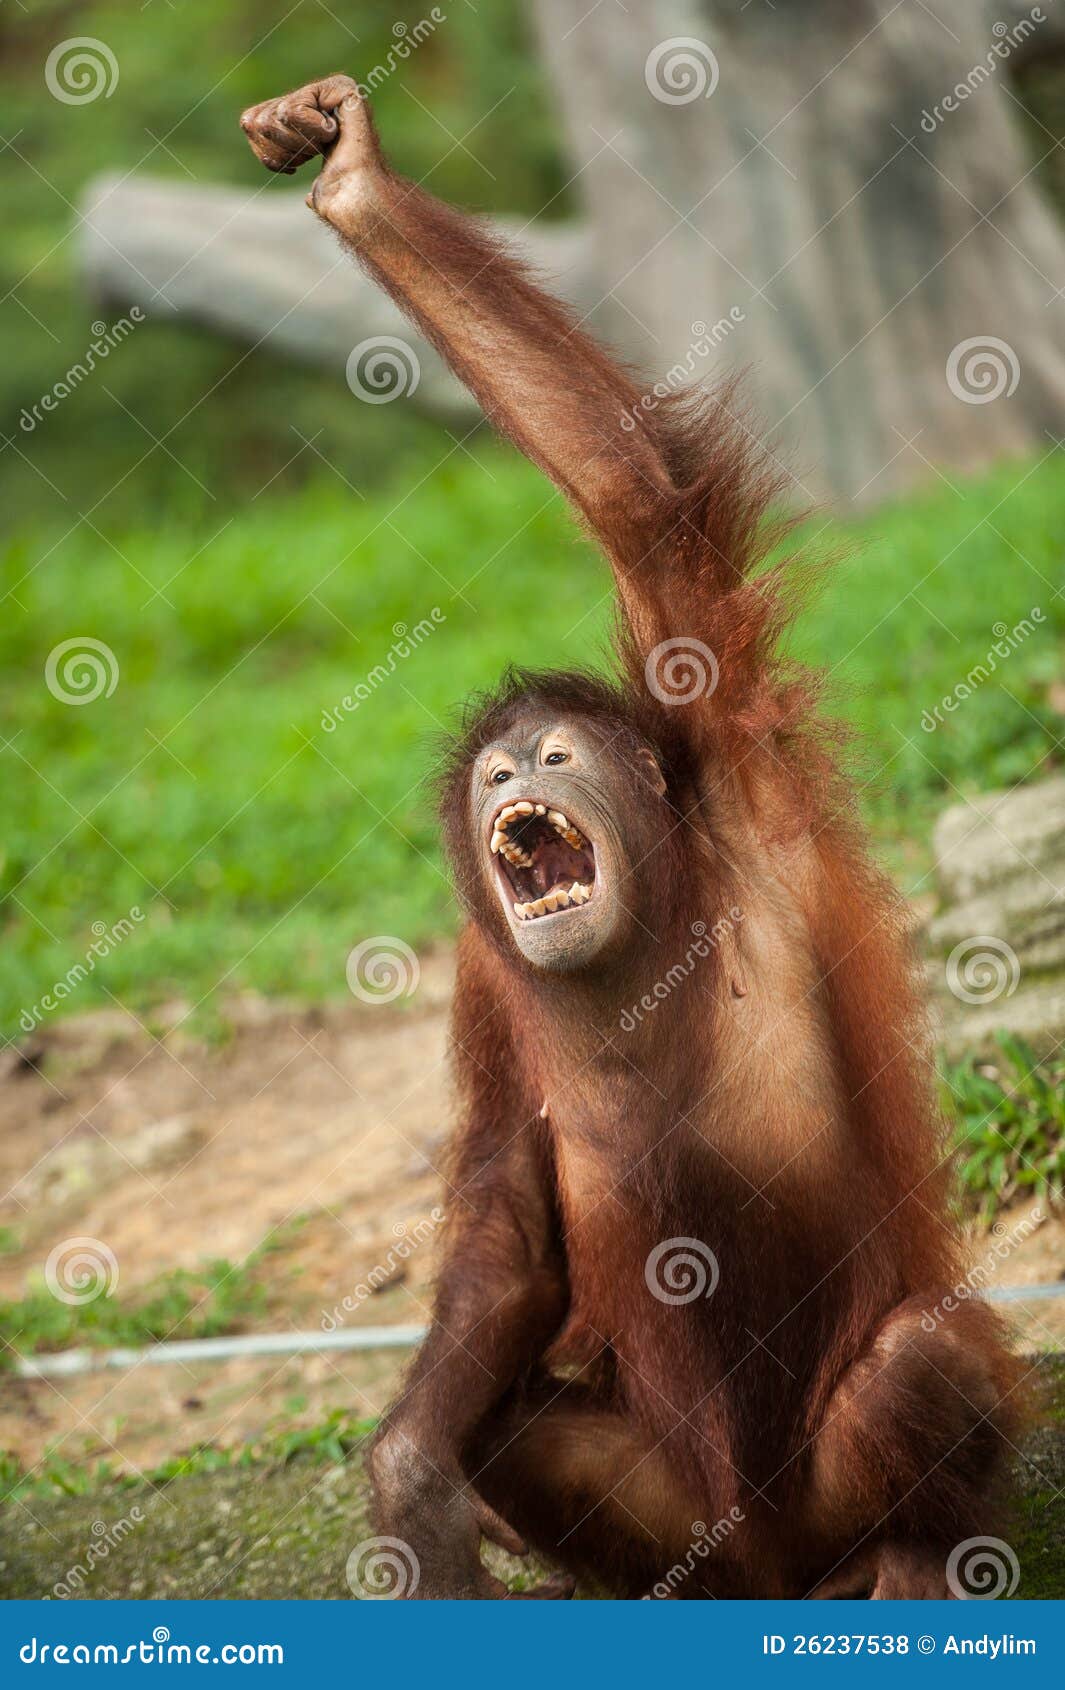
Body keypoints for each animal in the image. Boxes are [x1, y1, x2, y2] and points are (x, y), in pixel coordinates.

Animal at [241, 77, 1022, 1600]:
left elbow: (635, 492)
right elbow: (505, 1206)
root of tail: (769, 1563)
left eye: (552, 759)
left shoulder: (733, 759)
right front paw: (406, 1470)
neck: (644, 925)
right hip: (675, 1509)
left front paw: (352, 180)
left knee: (920, 1362)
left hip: (826, 1490)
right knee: (514, 1428)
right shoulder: (480, 976)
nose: (511, 789)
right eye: (494, 774)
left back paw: (915, 1559)